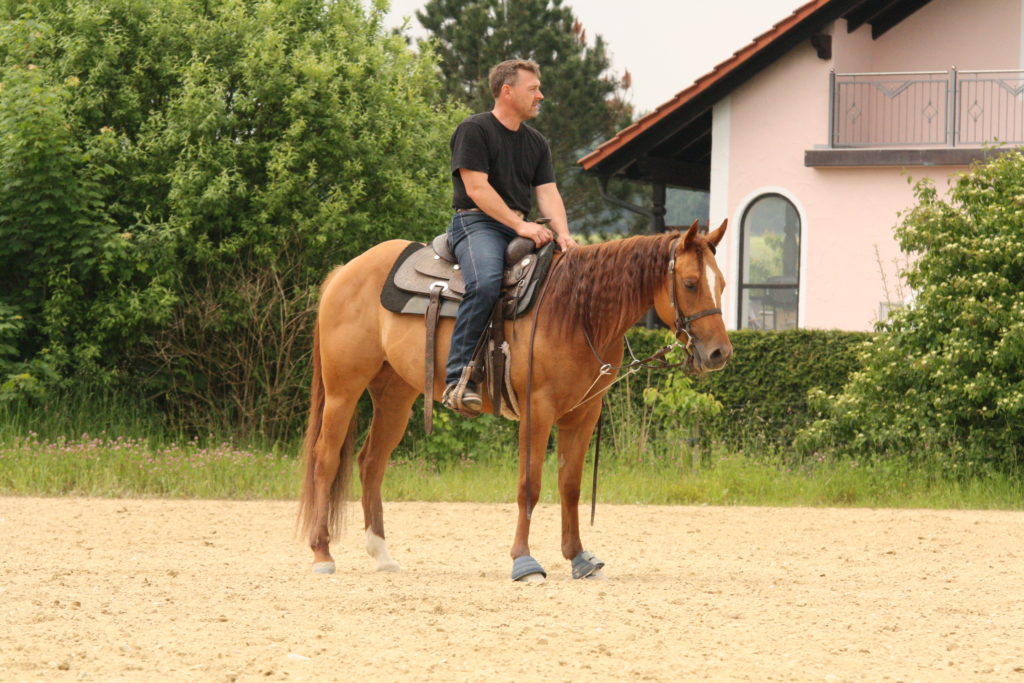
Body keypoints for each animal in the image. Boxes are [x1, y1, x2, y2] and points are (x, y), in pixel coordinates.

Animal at [298, 219, 732, 581]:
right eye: (690, 283)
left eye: (723, 284)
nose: (719, 353)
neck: (577, 311)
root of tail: (345, 272)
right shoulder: (537, 411)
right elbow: (530, 485)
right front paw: (524, 561)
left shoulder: (582, 414)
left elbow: (569, 486)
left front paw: (578, 557)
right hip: (343, 390)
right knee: (325, 459)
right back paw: (322, 554)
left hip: (395, 396)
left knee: (371, 462)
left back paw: (382, 555)